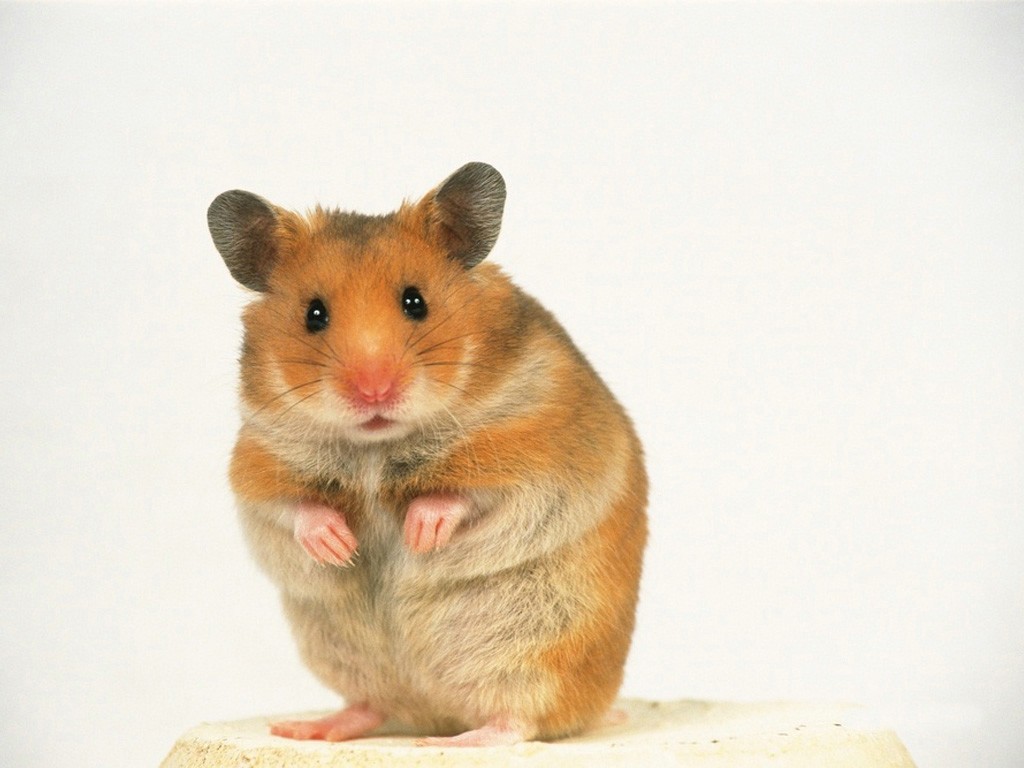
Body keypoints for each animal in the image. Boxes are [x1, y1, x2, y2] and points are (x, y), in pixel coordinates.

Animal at [207, 162, 647, 747]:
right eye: (314, 314)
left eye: (415, 301)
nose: (373, 391)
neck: (376, 447)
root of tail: (433, 707)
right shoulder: (257, 462)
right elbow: (294, 508)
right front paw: (339, 547)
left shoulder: (535, 452)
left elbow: (464, 497)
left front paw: (420, 536)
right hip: (344, 653)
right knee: (371, 704)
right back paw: (305, 730)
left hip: (538, 651)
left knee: (518, 721)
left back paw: (447, 742)